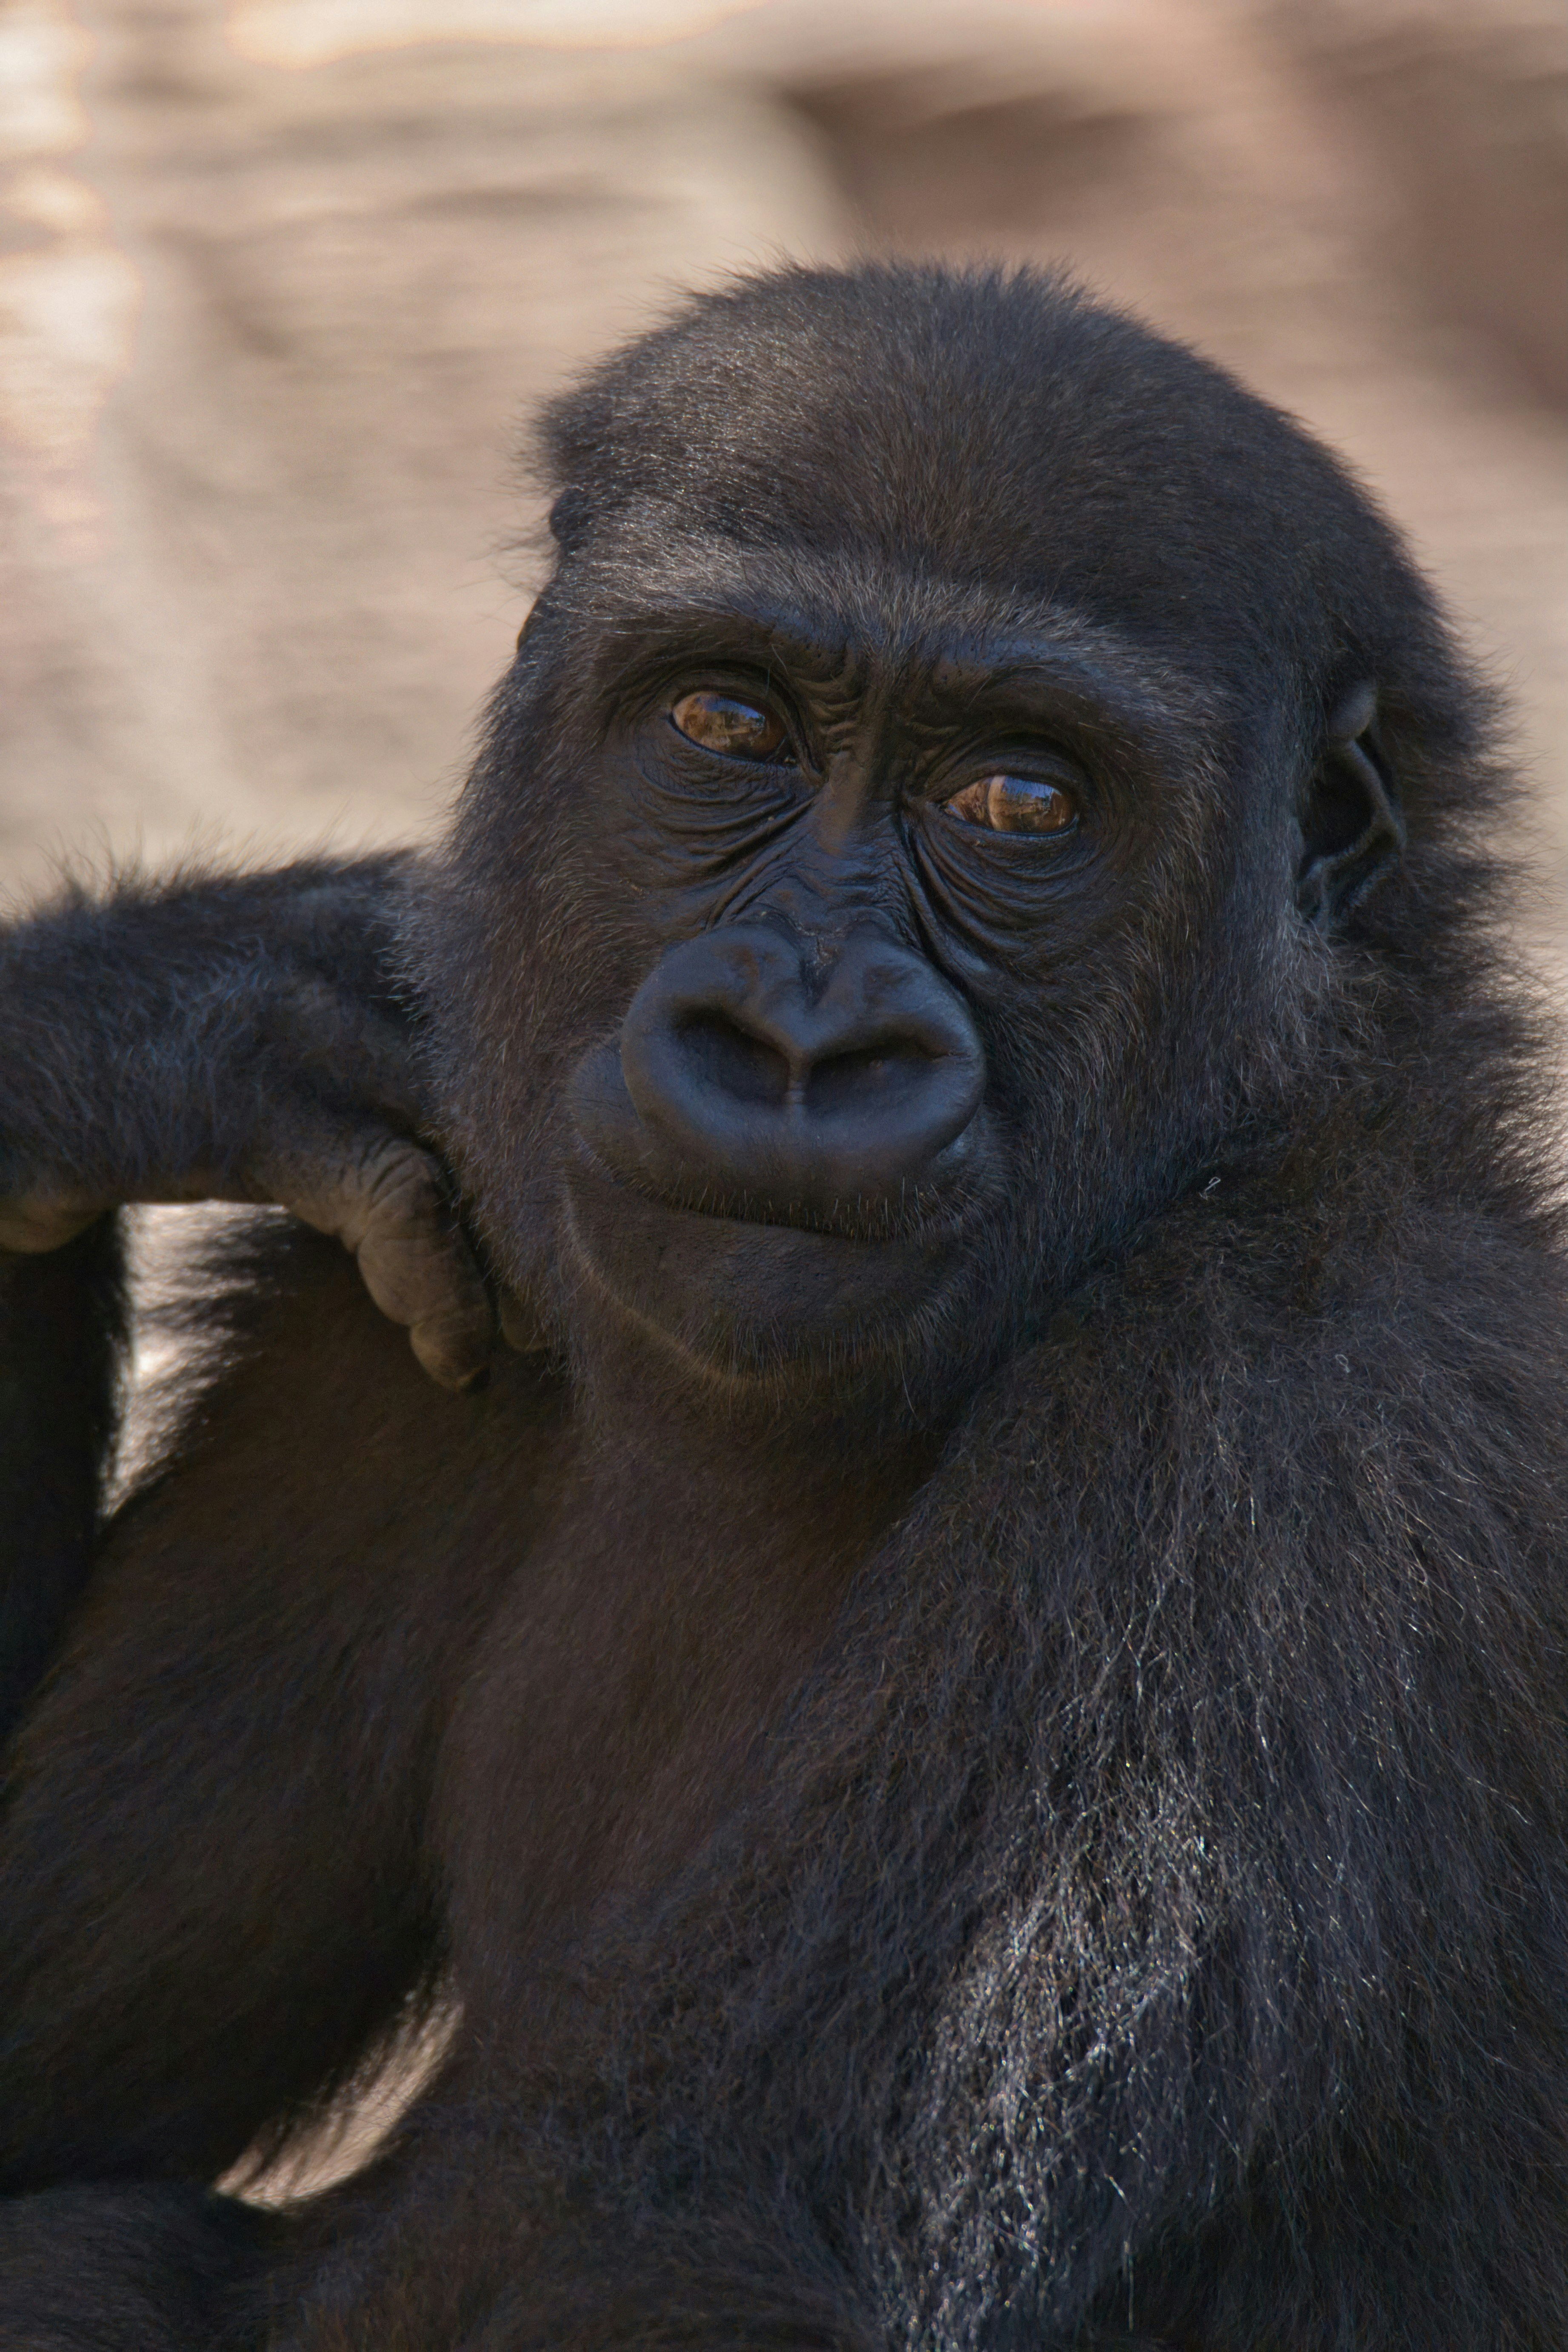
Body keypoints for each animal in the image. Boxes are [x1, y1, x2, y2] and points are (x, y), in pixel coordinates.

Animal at [0, 263, 1564, 2350]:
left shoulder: (1296, 1411)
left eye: (1019, 799)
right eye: (723, 721)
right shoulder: (432, 1275)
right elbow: (42, 2029)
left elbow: (675, 2257)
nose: (799, 1042)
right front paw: (134, 1018)